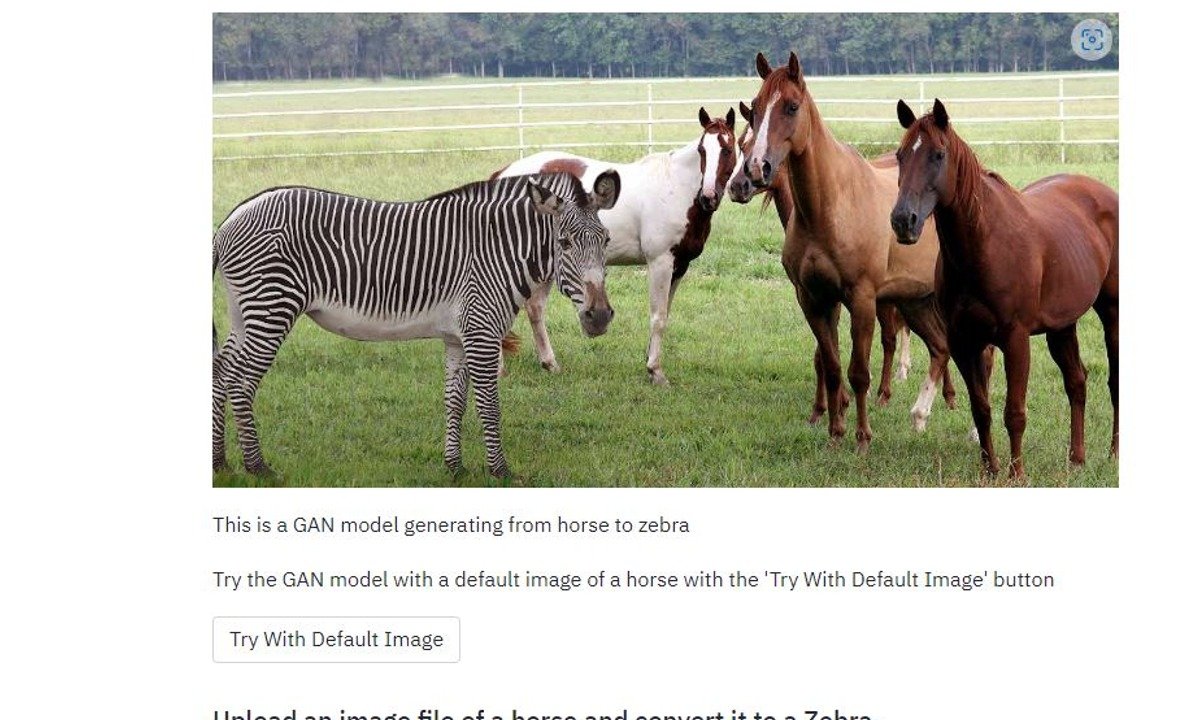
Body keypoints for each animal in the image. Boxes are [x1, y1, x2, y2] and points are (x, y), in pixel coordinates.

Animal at [212, 170, 621, 479]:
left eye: (606, 240)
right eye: (564, 243)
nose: (599, 317)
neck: (497, 250)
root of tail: (231, 220)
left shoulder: (458, 336)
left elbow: (455, 401)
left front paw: (455, 467)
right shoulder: (482, 332)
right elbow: (489, 405)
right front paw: (500, 471)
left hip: (244, 312)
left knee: (221, 372)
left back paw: (220, 462)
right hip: (271, 307)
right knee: (242, 381)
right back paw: (257, 467)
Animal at [493, 107, 740, 385]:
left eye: (728, 149)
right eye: (702, 149)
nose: (709, 196)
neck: (676, 187)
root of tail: (504, 174)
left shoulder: (680, 266)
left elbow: (665, 314)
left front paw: (649, 359)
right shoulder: (660, 263)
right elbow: (658, 318)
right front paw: (656, 371)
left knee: (535, 308)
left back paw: (549, 363)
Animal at [741, 52, 954, 451]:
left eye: (791, 106)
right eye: (756, 108)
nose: (755, 169)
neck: (827, 207)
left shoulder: (862, 299)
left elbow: (858, 372)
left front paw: (863, 438)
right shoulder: (813, 299)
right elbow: (832, 365)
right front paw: (834, 432)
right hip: (916, 300)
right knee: (941, 347)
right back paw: (922, 416)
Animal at [890, 99, 1118, 480]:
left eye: (938, 154)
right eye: (900, 155)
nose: (903, 221)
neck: (984, 245)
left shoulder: (1015, 339)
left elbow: (1014, 412)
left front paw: (1017, 474)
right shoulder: (964, 341)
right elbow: (981, 408)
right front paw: (990, 470)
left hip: (1112, 313)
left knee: (1114, 381)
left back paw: (1114, 453)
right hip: (1062, 326)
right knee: (1077, 382)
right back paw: (1076, 458)